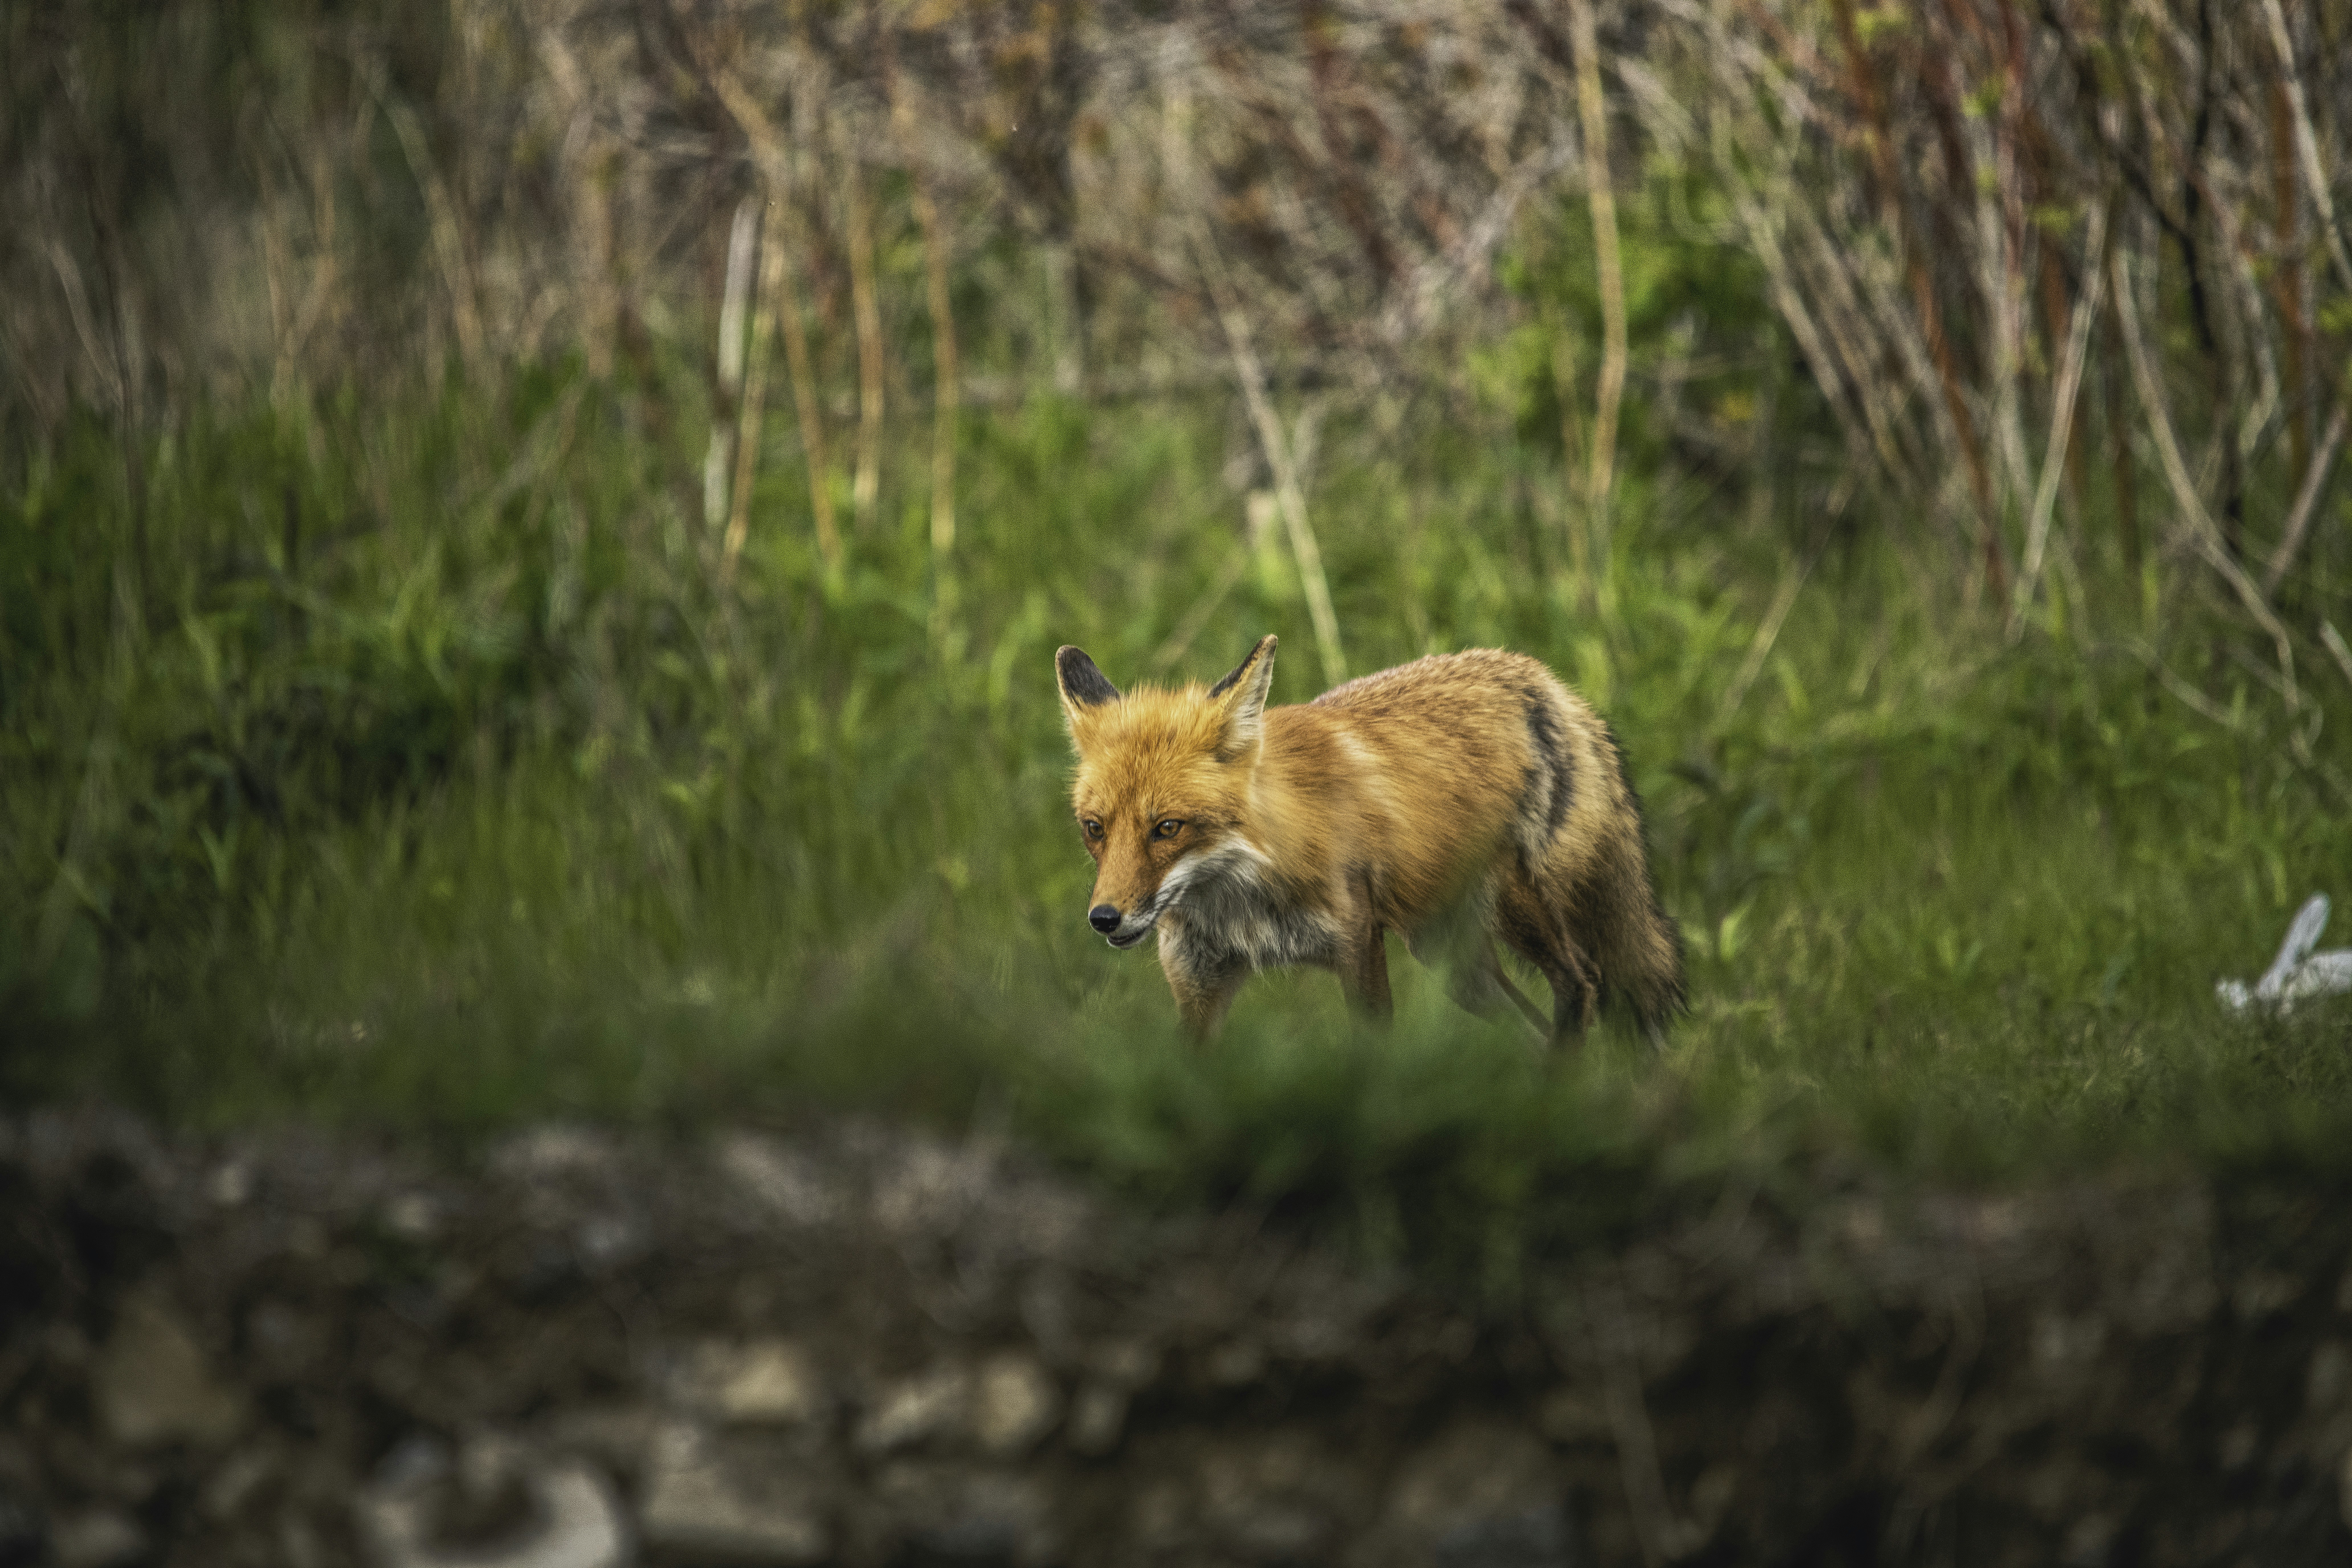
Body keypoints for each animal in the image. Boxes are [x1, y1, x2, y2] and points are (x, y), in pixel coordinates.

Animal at [1055, 634, 1683, 1044]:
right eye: (1095, 829)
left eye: (1167, 828)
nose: (1104, 919)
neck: (1241, 896)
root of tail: (1537, 675)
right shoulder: (1199, 977)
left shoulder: (1356, 942)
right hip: (1450, 957)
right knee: (1530, 1023)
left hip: (1513, 906)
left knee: (1582, 983)